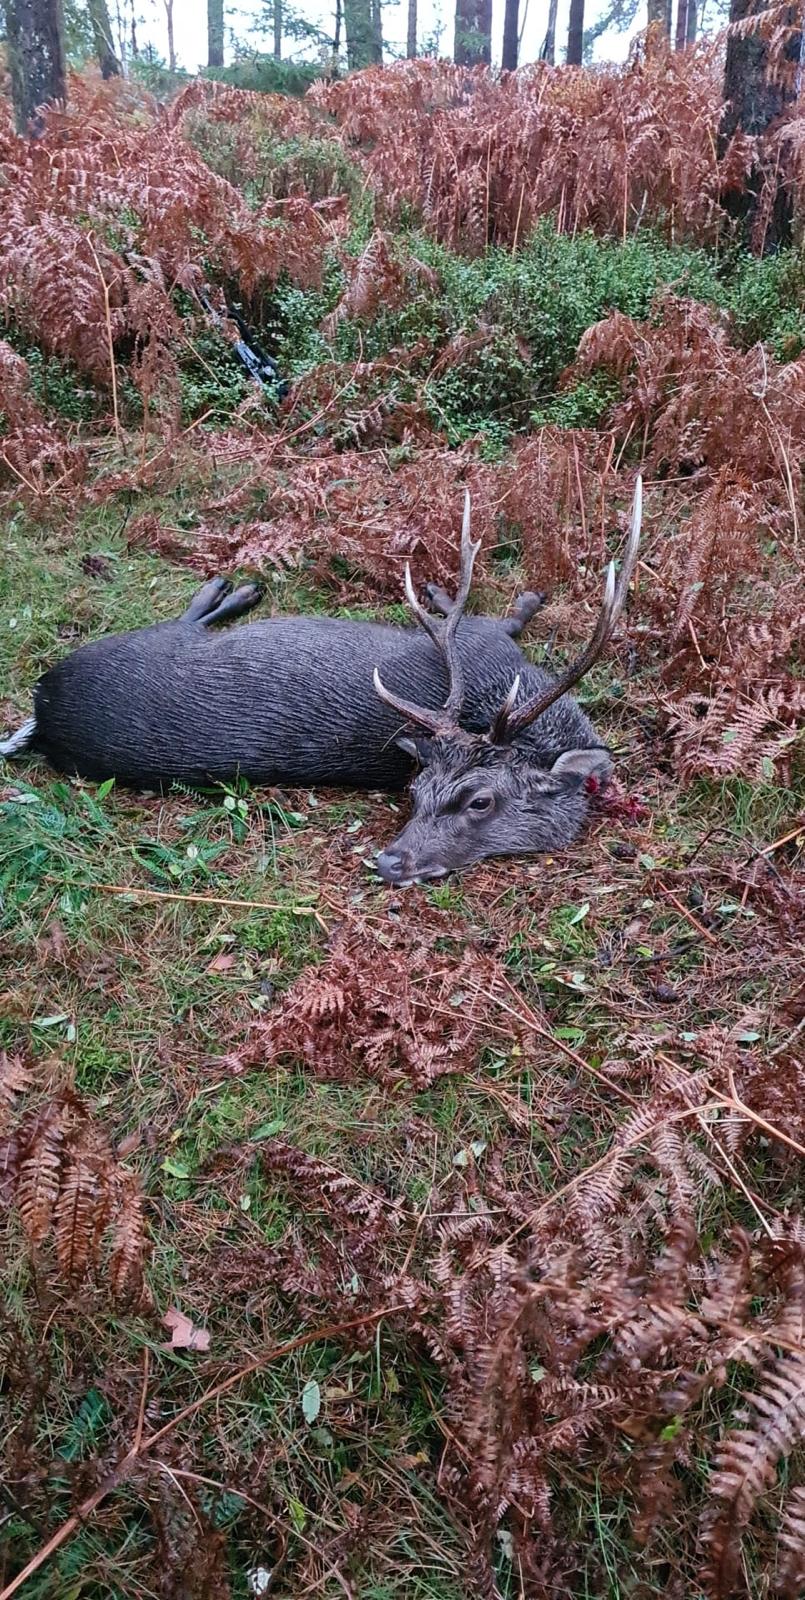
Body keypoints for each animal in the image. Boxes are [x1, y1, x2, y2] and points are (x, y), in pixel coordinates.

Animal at [0, 479, 641, 885]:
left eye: (480, 801)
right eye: (416, 791)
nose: (391, 862)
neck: (515, 684)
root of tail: (43, 705)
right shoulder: (483, 638)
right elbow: (494, 614)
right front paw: (455, 593)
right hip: (141, 640)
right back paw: (230, 587)